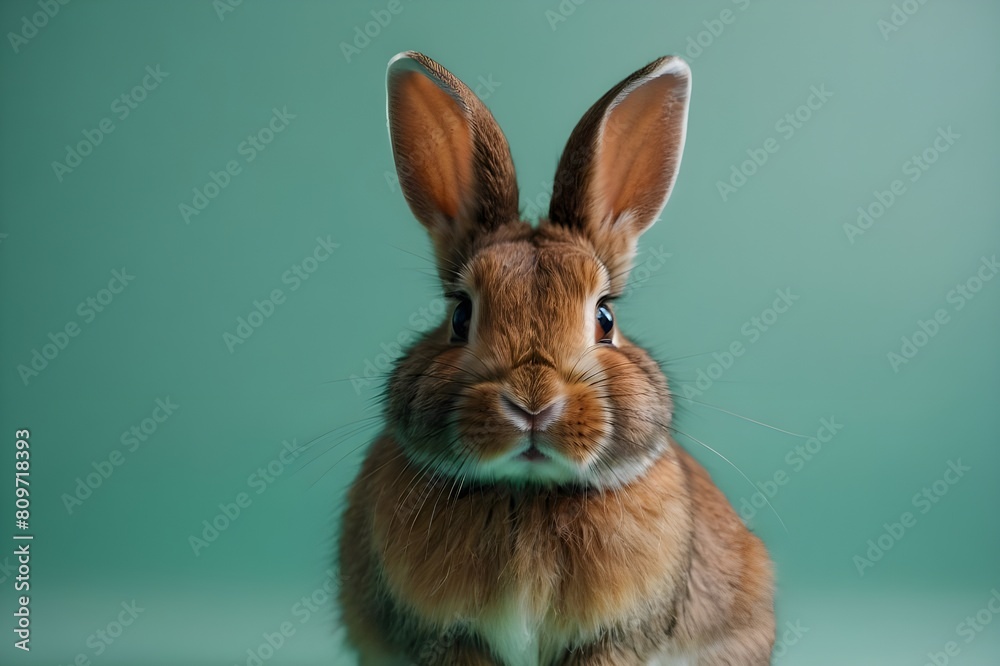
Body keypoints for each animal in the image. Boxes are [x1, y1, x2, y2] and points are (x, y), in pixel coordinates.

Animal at [338, 51, 775, 666]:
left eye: (605, 318)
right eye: (460, 316)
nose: (533, 405)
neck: (528, 495)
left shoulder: (611, 639)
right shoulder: (451, 639)